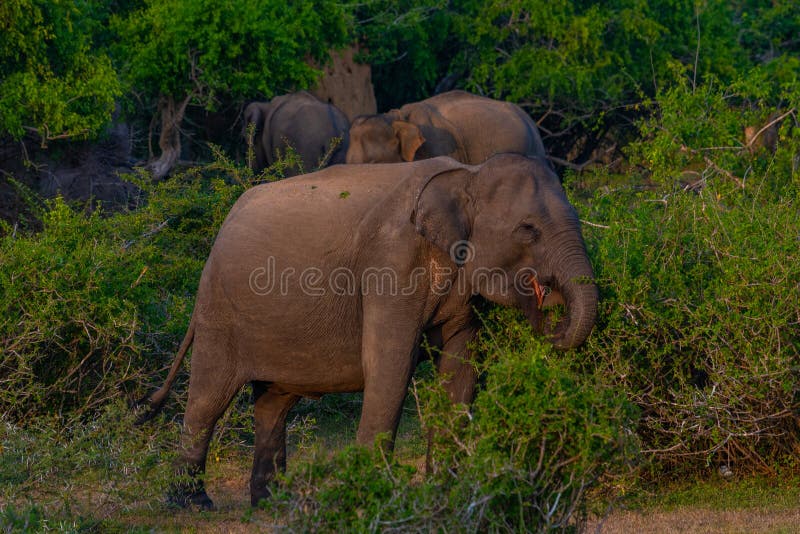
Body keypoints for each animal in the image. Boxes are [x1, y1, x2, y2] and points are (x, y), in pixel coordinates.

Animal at [140, 153, 597, 509]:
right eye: (528, 229)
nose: (546, 305)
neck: (468, 173)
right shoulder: (390, 263)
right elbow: (391, 364)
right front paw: (372, 494)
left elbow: (461, 370)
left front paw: (445, 494)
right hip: (219, 310)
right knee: (208, 399)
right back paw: (191, 504)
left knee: (274, 403)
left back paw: (273, 504)